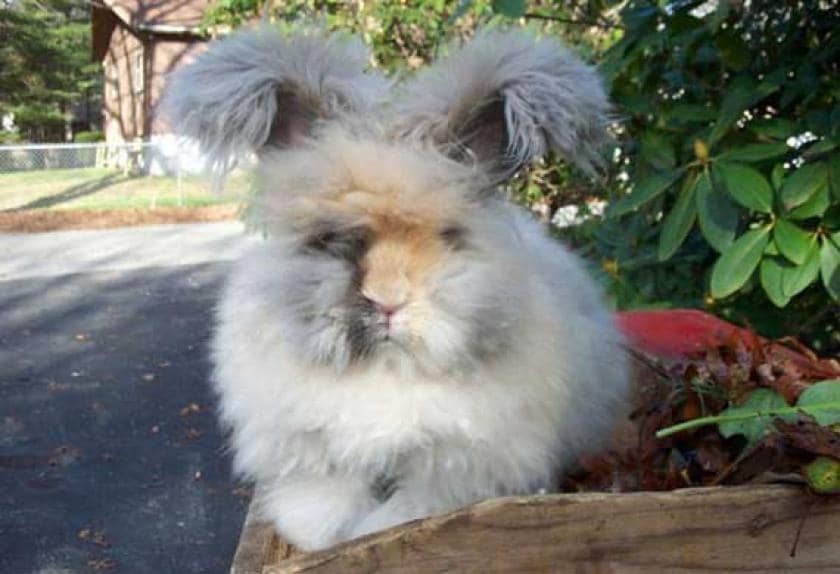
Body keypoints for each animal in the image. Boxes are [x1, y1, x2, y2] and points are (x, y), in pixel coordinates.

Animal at [162, 25, 629, 552]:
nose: (388, 302)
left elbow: (404, 515)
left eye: (447, 236)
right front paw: (325, 539)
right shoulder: (311, 453)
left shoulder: (459, 467)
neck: (386, 370)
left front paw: (371, 534)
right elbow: (325, 503)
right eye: (327, 238)